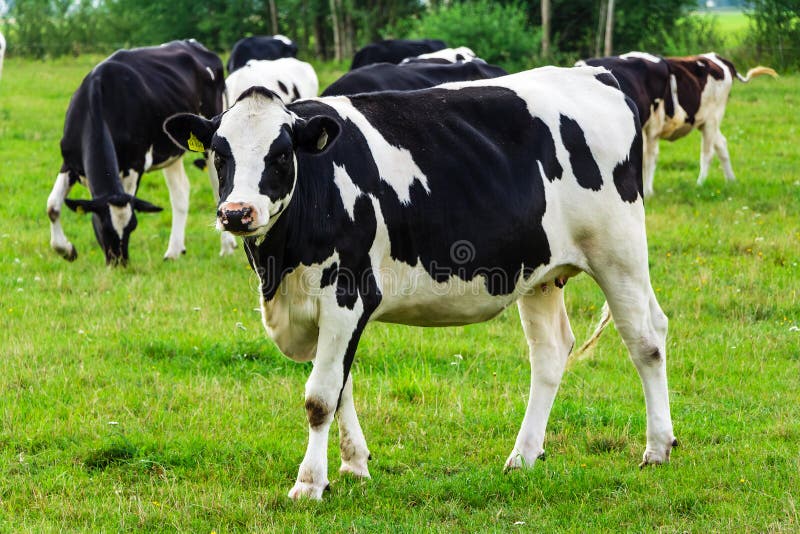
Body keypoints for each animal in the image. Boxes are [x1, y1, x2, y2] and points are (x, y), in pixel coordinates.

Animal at [46, 39, 235, 266]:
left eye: (132, 226)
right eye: (102, 225)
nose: (119, 263)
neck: (97, 101)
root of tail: (194, 44)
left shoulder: (134, 166)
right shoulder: (69, 163)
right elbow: (53, 207)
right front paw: (66, 250)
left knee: (217, 192)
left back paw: (227, 247)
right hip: (171, 149)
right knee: (180, 192)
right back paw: (174, 251)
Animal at [164, 66, 676, 500]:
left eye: (281, 154)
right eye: (219, 156)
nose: (237, 213)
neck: (281, 267)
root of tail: (595, 73)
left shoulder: (347, 294)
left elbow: (320, 396)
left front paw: (309, 483)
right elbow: (342, 386)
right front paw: (354, 465)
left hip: (619, 251)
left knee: (646, 341)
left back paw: (657, 448)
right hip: (541, 272)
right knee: (550, 353)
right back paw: (523, 456)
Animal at [577, 52, 777, 196]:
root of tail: (717, 58)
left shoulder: (652, 126)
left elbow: (648, 158)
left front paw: (647, 192)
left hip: (713, 117)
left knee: (707, 152)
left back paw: (700, 183)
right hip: (705, 120)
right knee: (721, 144)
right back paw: (731, 180)